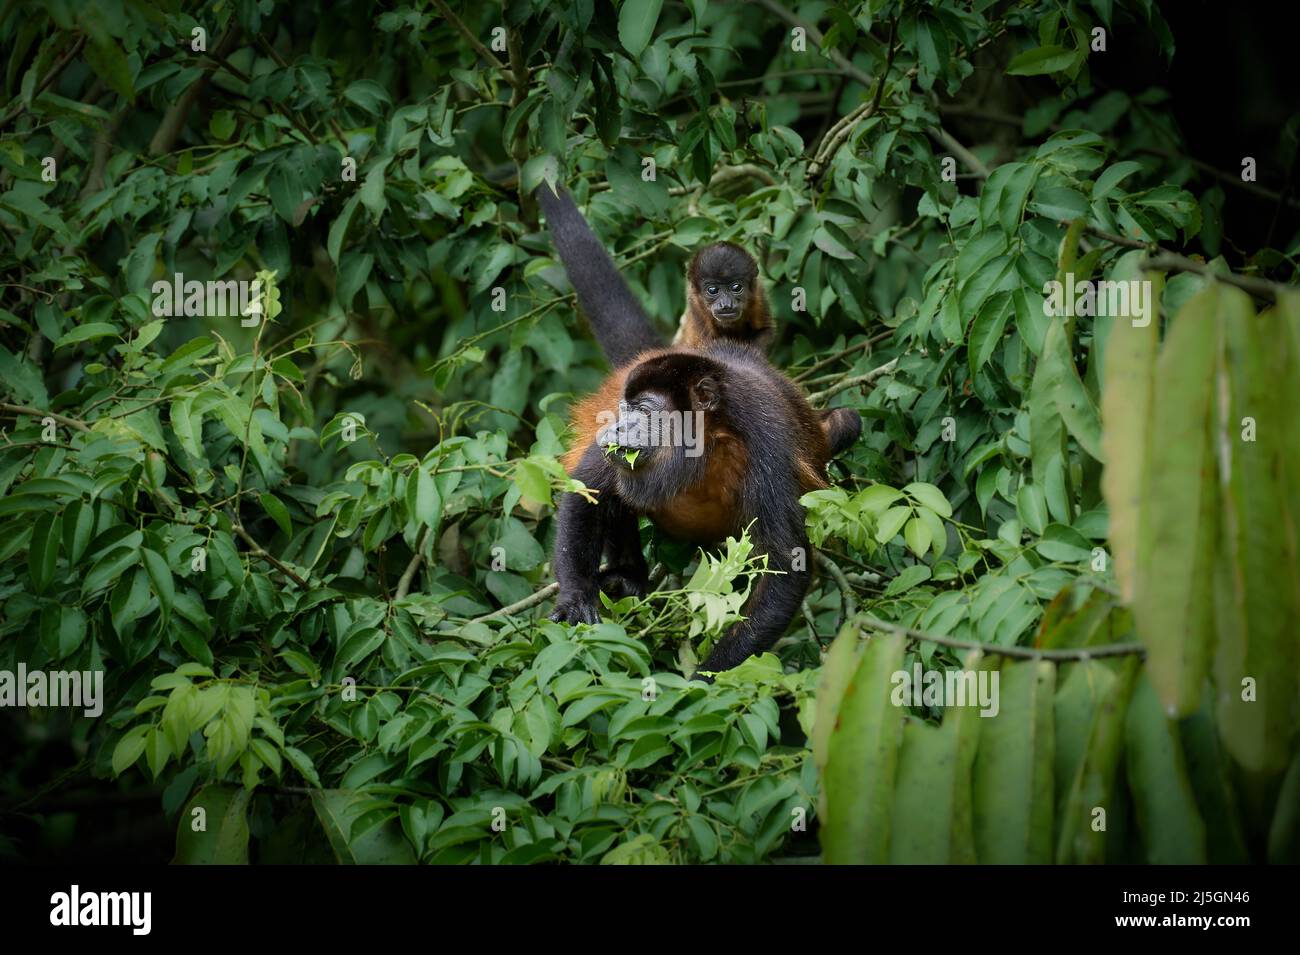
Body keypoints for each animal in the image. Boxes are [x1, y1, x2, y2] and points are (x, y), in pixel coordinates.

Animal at [536, 181, 851, 675]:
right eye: (624, 409)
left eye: (646, 411)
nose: (616, 430)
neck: (708, 440)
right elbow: (587, 485)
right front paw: (574, 598)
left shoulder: (767, 444)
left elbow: (787, 565)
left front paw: (707, 676)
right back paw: (630, 576)